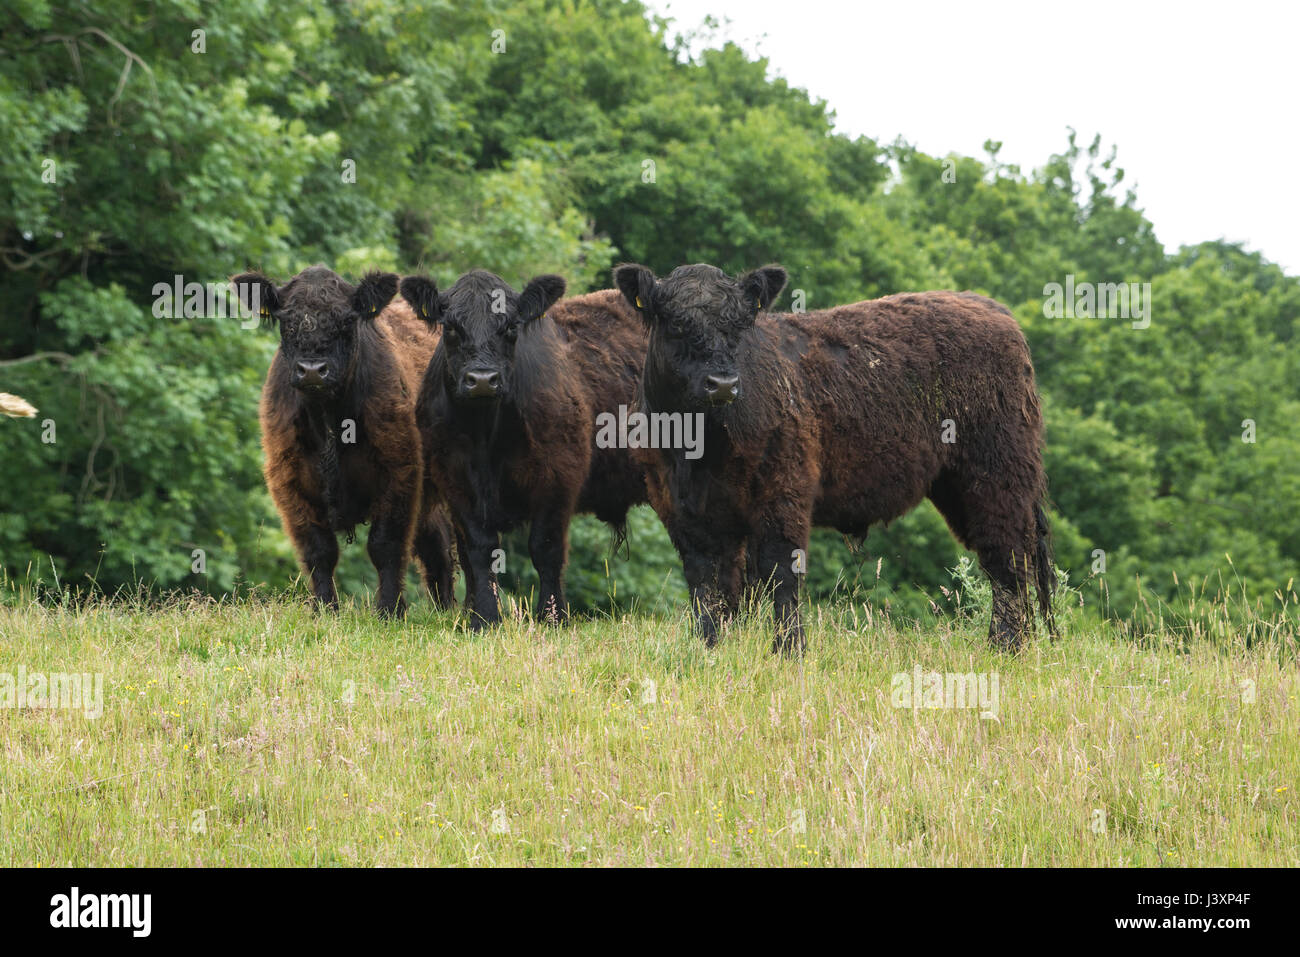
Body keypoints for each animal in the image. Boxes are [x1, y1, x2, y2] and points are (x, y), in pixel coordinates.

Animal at [231, 265, 454, 618]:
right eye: (286, 321)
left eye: (347, 321)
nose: (312, 370)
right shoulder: (289, 481)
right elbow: (319, 550)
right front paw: (325, 611)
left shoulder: (400, 471)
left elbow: (385, 545)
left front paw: (388, 611)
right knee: (435, 542)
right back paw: (443, 610)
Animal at [399, 269, 648, 628]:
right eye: (452, 327)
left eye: (510, 328)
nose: (482, 379)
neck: (486, 435)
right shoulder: (455, 480)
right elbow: (478, 550)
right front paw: (483, 618)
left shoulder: (559, 478)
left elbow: (545, 548)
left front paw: (552, 617)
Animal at [613, 262, 1055, 655]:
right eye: (676, 324)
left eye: (739, 326)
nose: (722, 384)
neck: (697, 449)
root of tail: (989, 307)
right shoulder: (681, 512)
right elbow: (706, 587)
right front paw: (708, 649)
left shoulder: (783, 494)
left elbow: (781, 572)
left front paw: (789, 652)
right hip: (957, 486)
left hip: (998, 475)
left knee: (1008, 556)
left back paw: (1005, 647)